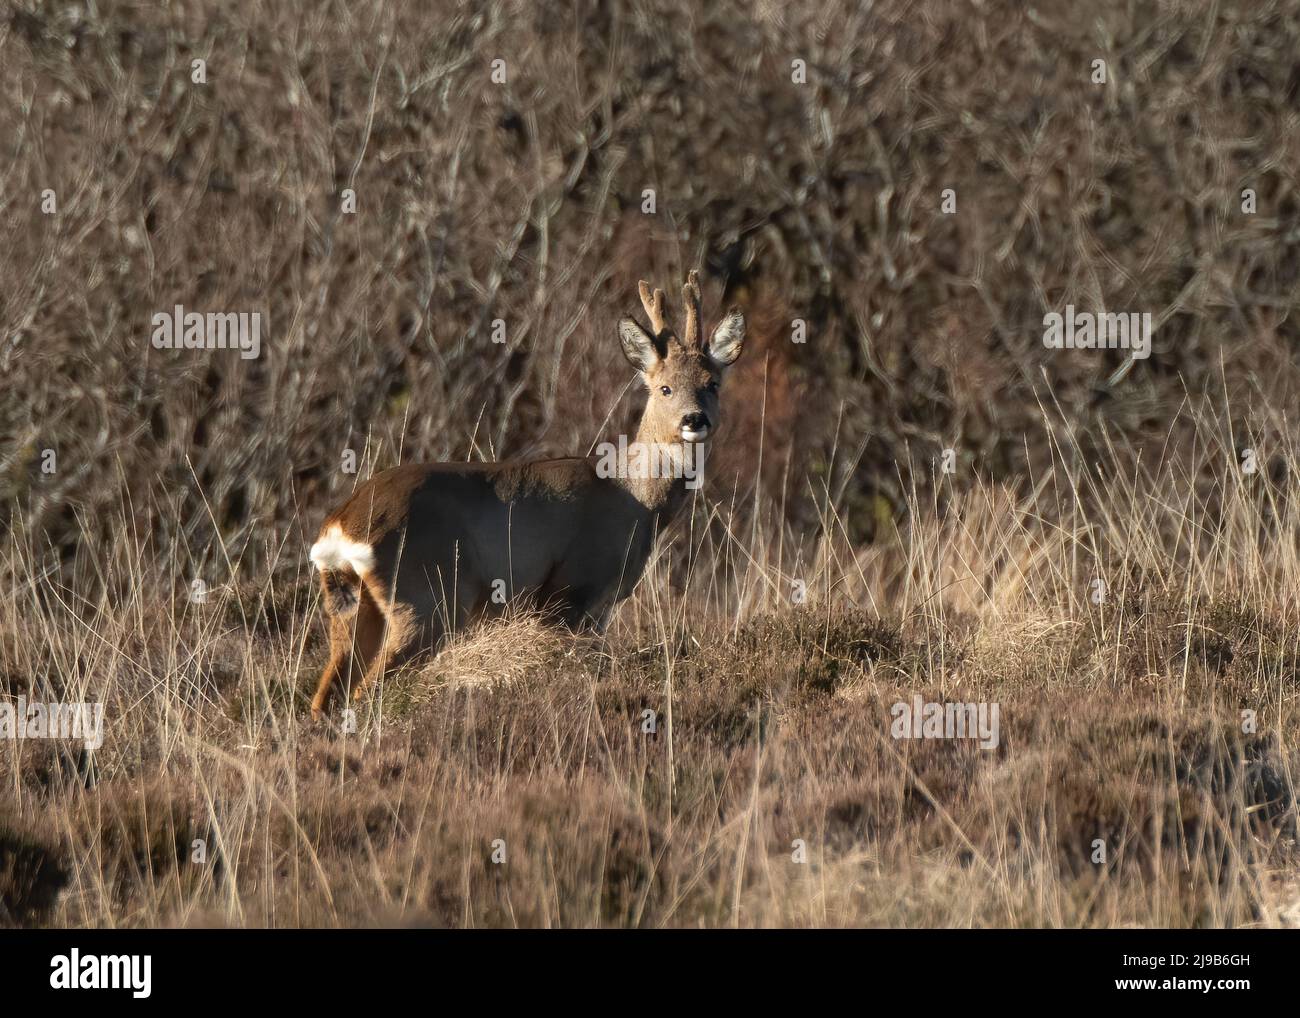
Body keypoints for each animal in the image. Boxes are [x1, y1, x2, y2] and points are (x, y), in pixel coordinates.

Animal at [307, 271, 746, 719]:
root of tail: (340, 526)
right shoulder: (573, 590)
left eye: (712, 384)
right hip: (426, 596)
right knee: (367, 689)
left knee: (325, 695)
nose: (695, 419)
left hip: (352, 608)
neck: (634, 498)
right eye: (664, 388)